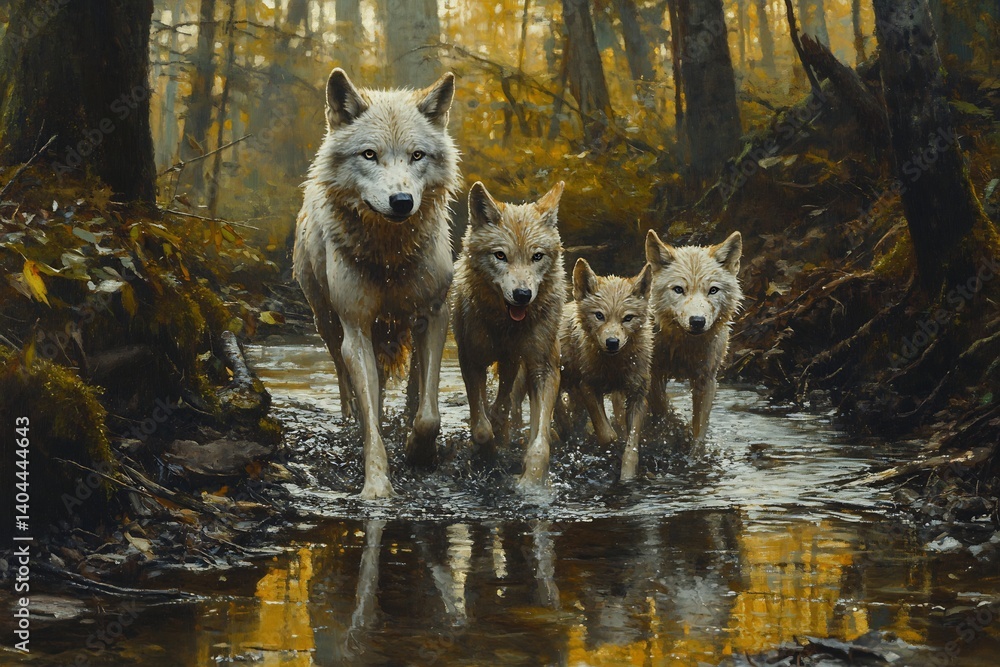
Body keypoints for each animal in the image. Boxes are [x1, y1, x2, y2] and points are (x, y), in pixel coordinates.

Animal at [293, 68, 459, 499]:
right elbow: (370, 417)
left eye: (417, 155)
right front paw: (377, 486)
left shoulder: (434, 316)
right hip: (328, 325)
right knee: (348, 386)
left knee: (415, 385)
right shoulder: (355, 330)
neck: (390, 256)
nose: (401, 201)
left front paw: (419, 451)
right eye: (369, 154)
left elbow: (429, 415)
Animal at [451, 180, 566, 489]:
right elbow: (481, 427)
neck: (507, 326)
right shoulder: (471, 360)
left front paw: (531, 483)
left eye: (537, 256)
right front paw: (487, 454)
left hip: (514, 362)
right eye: (500, 255)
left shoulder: (543, 367)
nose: (523, 295)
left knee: (506, 400)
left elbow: (539, 444)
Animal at [558, 258, 654, 480]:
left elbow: (631, 446)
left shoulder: (637, 396)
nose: (612, 342)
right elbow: (607, 434)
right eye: (599, 315)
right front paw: (610, 444)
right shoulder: (587, 387)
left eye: (627, 318)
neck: (614, 367)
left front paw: (627, 475)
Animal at [645, 230, 743, 443]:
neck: (683, 346)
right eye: (678, 289)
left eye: (713, 290)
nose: (697, 321)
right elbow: (662, 411)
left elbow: (699, 432)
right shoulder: (653, 376)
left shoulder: (706, 381)